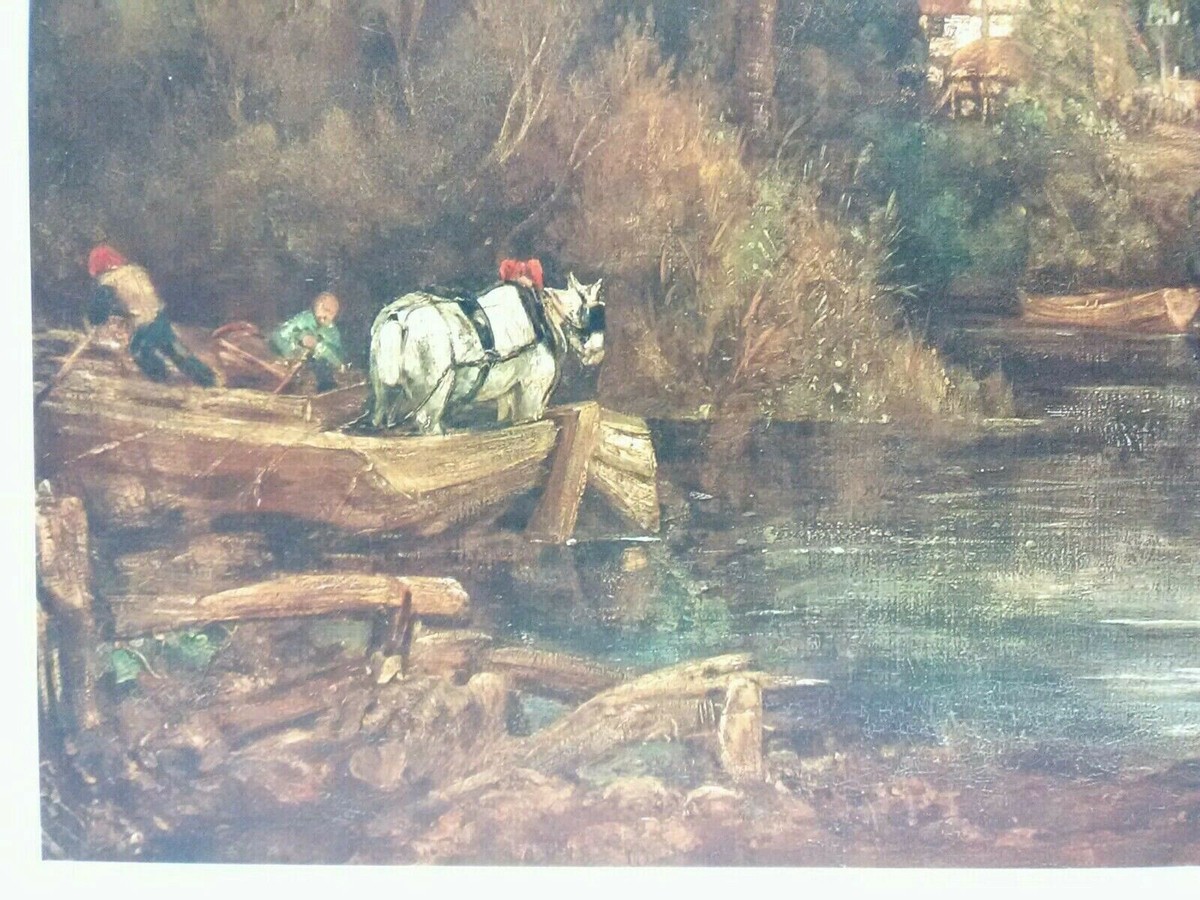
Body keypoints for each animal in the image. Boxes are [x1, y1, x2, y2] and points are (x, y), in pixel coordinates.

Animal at [367, 272, 605, 434]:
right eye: (596, 314)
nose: (599, 354)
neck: (543, 314)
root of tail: (399, 319)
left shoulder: (508, 392)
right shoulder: (531, 391)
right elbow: (526, 420)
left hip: (383, 392)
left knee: (382, 415)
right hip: (434, 396)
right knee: (427, 425)